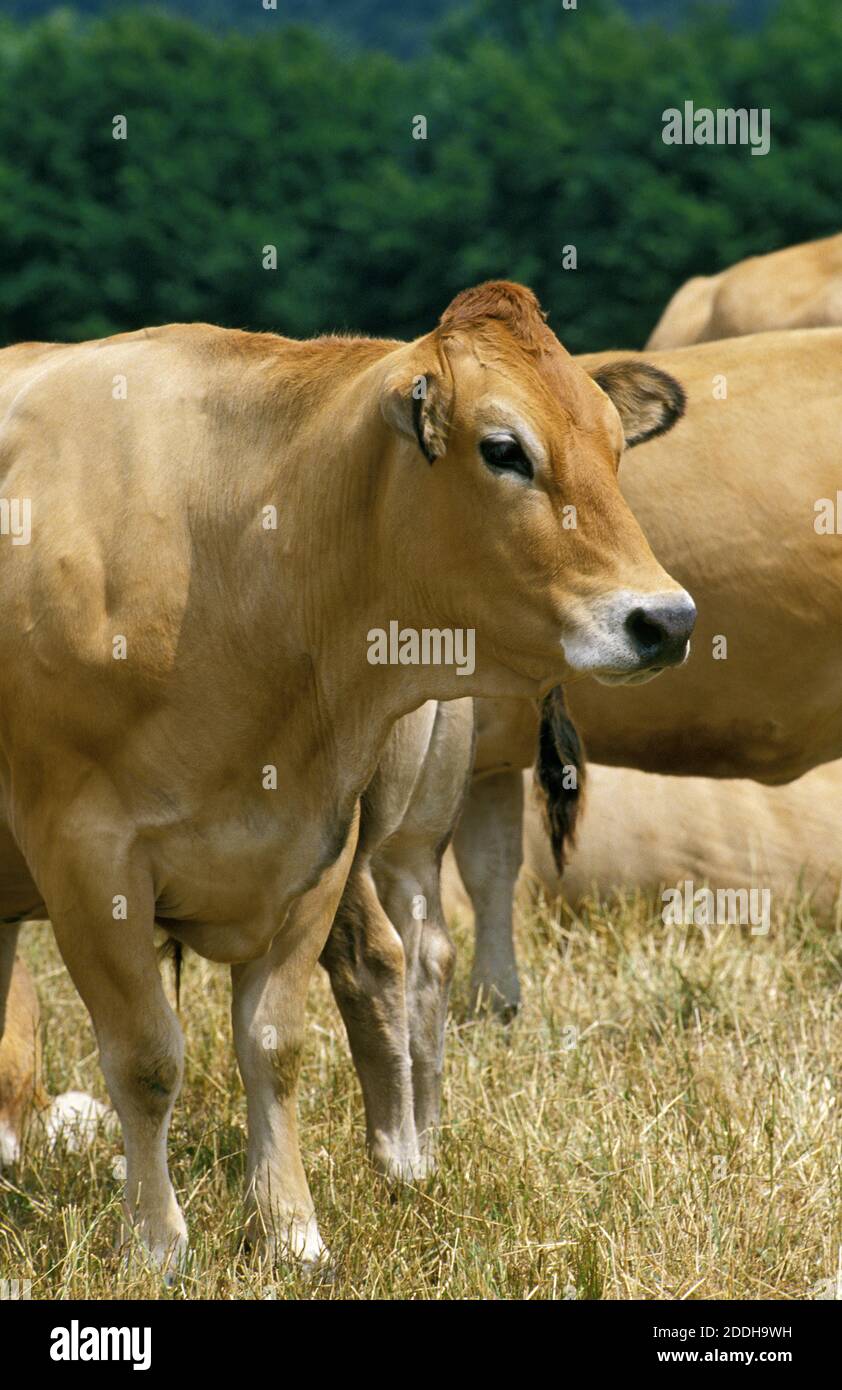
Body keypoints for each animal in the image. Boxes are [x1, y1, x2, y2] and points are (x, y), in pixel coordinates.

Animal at [0, 281, 694, 1271]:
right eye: (504, 449)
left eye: (613, 443)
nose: (666, 620)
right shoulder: (85, 860)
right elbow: (147, 1057)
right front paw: (159, 1242)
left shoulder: (317, 846)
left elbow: (275, 1044)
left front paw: (290, 1229)